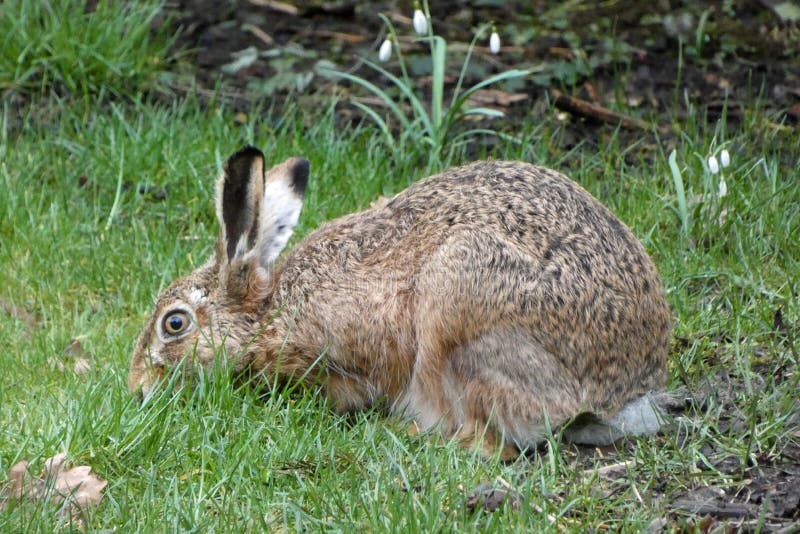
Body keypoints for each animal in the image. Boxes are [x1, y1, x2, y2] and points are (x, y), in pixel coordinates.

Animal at [128, 145, 672, 458]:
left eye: (174, 324)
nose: (137, 390)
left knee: (493, 442)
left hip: (458, 313)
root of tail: (624, 390)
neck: (268, 313)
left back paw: (408, 433)